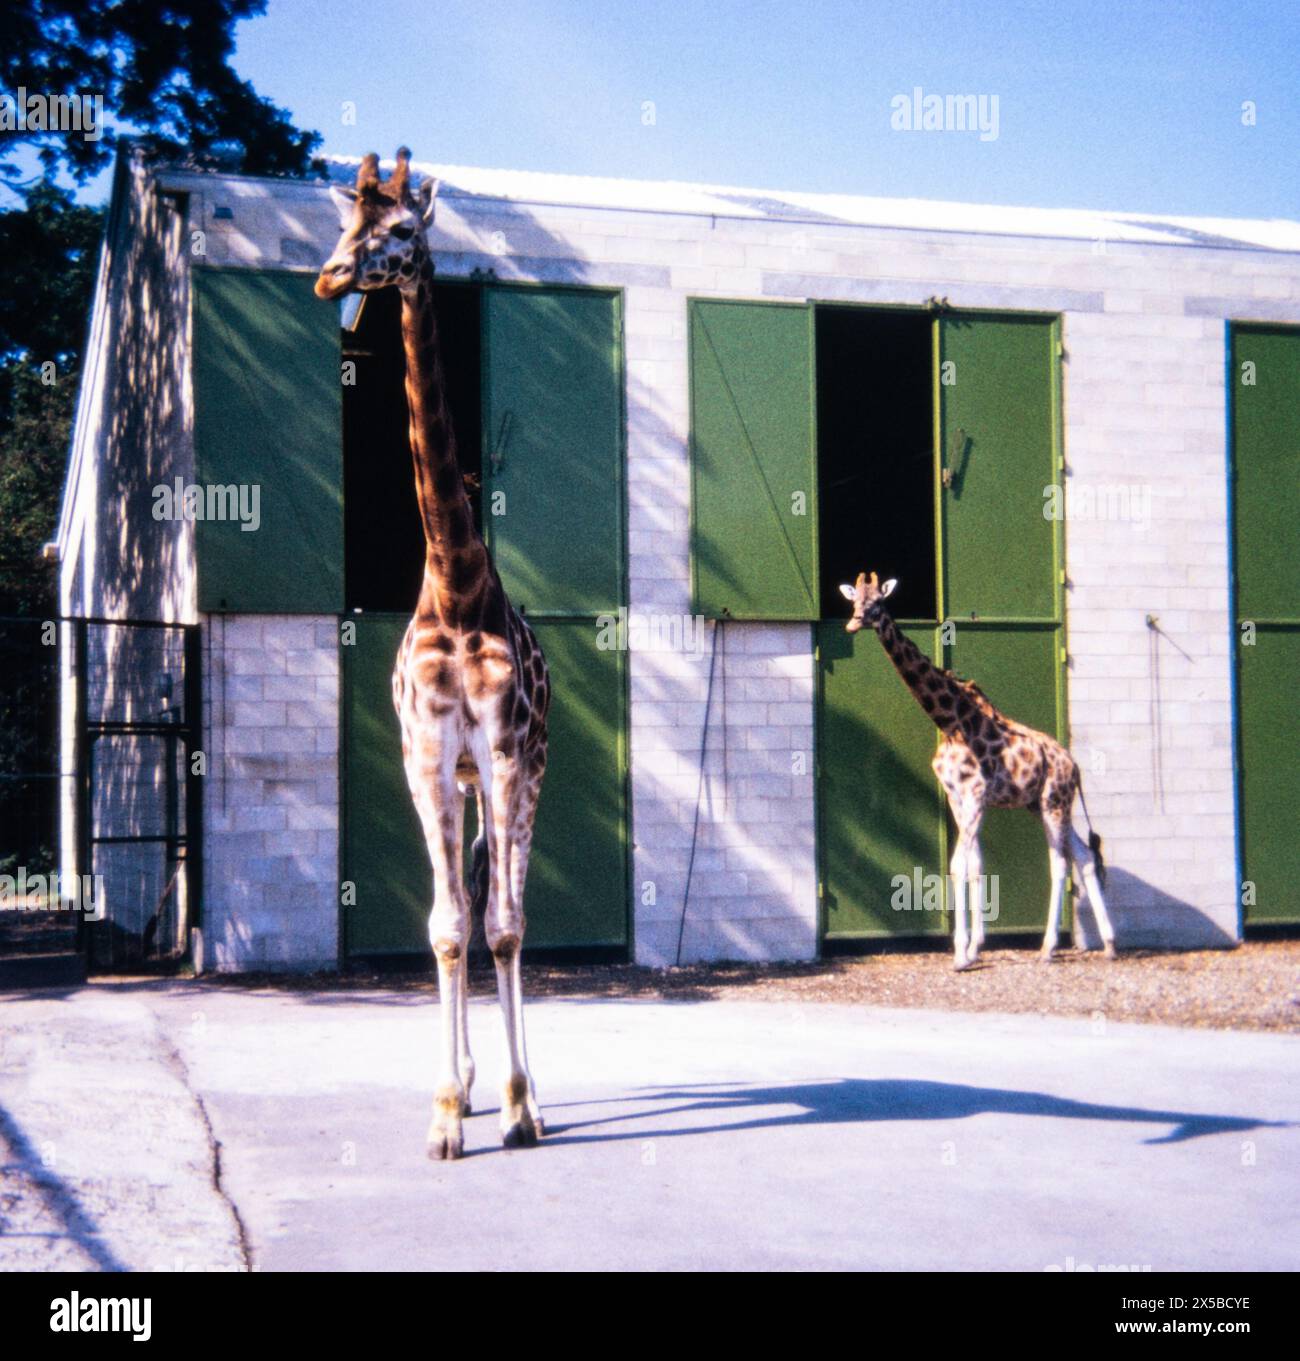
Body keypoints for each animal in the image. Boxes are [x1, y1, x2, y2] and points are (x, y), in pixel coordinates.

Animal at [840, 571, 1117, 971]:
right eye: (853, 600)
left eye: (877, 602)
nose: (852, 623)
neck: (949, 720)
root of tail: (1074, 766)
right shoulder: (958, 797)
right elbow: (974, 864)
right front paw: (974, 948)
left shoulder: (974, 795)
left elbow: (958, 865)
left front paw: (960, 955)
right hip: (1041, 804)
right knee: (1083, 855)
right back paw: (1109, 944)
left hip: (1054, 802)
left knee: (1060, 861)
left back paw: (1048, 947)